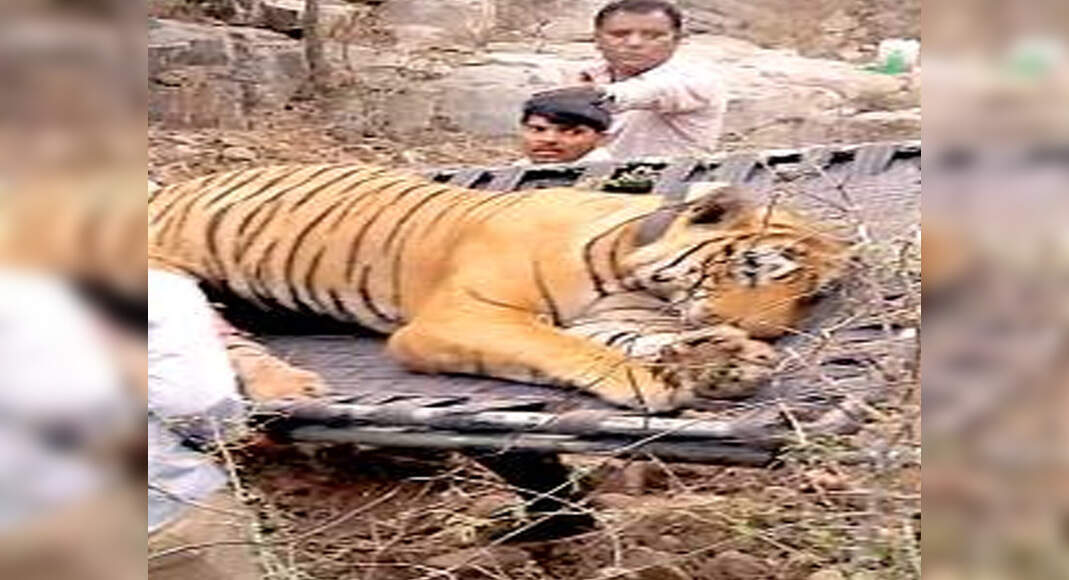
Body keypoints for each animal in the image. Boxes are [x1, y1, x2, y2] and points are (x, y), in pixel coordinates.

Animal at [148, 163, 846, 411]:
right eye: (753, 268)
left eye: (807, 297)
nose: (764, 332)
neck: (632, 269)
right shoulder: (465, 315)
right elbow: (563, 348)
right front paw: (654, 382)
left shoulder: (622, 317)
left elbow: (632, 339)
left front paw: (723, 361)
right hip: (171, 276)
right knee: (223, 344)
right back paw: (291, 386)